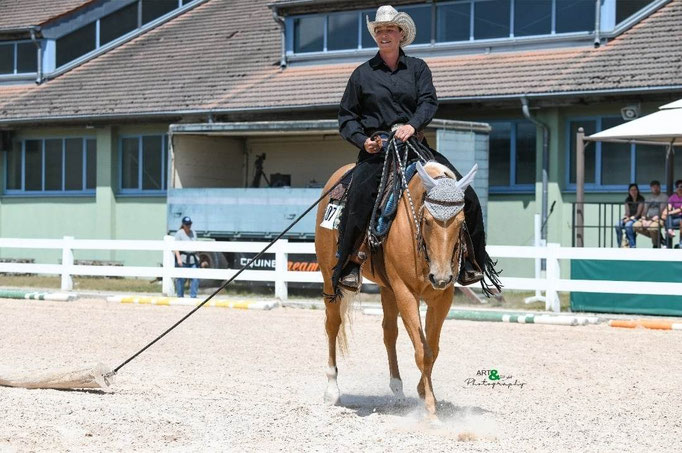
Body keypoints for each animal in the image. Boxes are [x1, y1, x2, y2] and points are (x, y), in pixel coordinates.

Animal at [314, 159, 477, 417]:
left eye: (462, 222)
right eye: (427, 221)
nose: (440, 276)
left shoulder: (442, 297)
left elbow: (432, 349)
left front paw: (423, 391)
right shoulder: (406, 292)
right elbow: (422, 351)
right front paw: (430, 409)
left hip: (387, 288)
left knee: (389, 332)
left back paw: (398, 390)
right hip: (330, 277)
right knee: (332, 325)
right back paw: (332, 390)